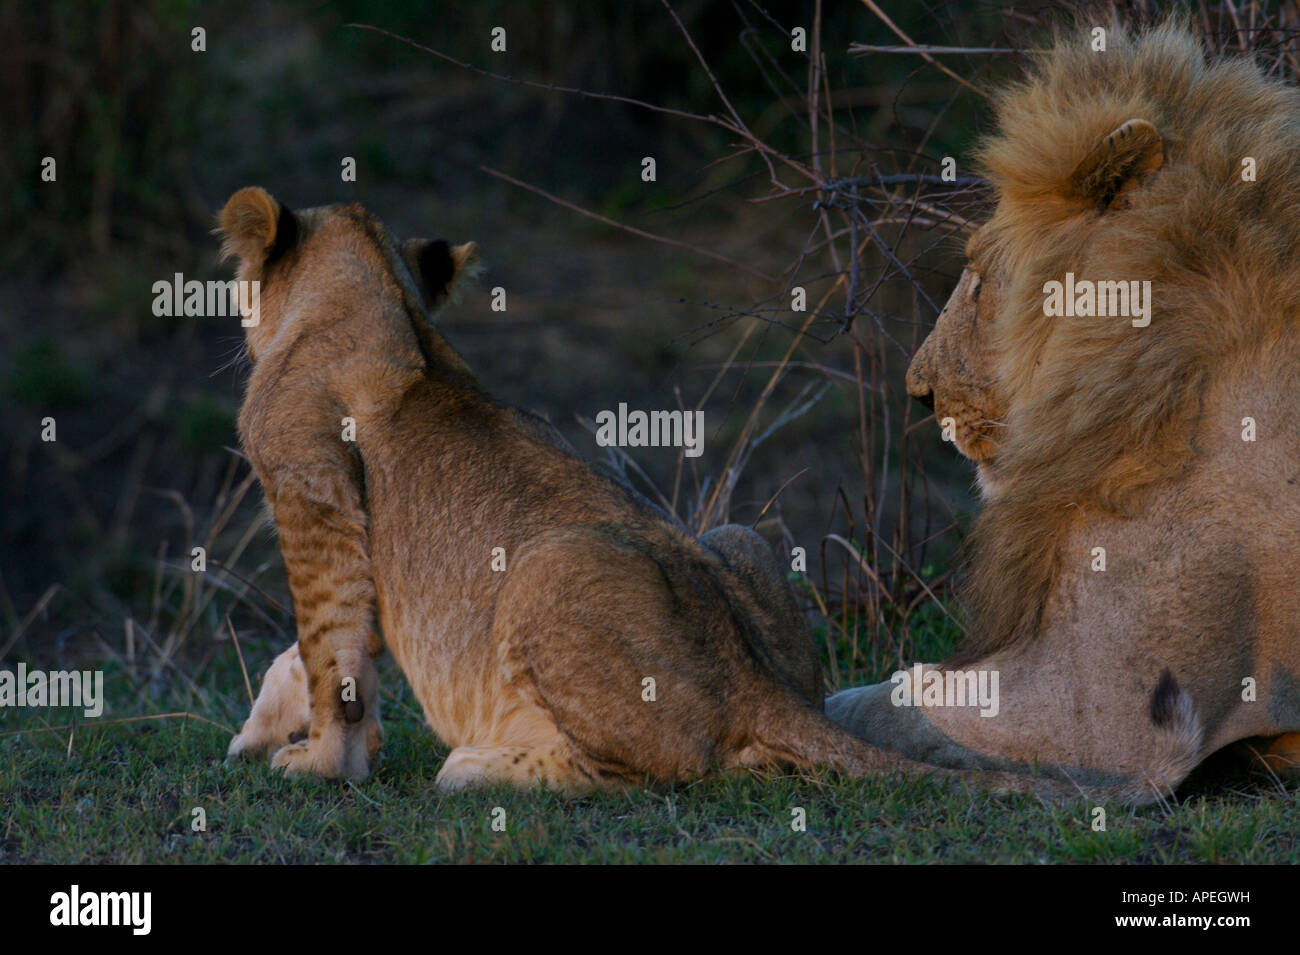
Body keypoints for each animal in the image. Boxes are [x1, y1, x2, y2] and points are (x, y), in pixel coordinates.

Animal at [214, 186, 1103, 798]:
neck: (375, 292)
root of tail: (758, 685)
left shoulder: (308, 485)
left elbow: (328, 644)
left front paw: (322, 761)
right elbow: (313, 646)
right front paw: (260, 732)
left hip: (543, 571)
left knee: (657, 768)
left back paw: (477, 763)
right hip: (734, 537)